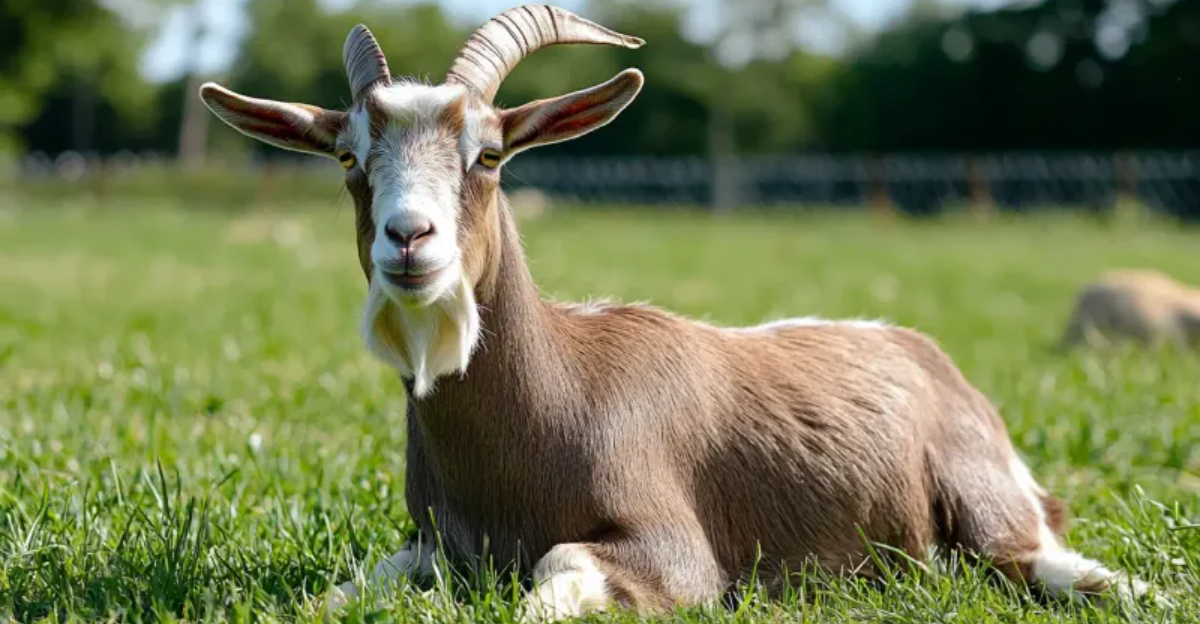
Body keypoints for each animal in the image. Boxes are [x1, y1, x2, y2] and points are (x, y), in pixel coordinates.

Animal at [199, 5, 1160, 620]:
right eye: (348, 157)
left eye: (491, 154)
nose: (410, 238)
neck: (554, 398)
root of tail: (924, 354)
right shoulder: (430, 551)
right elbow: (328, 598)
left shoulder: (676, 554)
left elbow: (557, 573)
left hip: (997, 518)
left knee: (1058, 568)